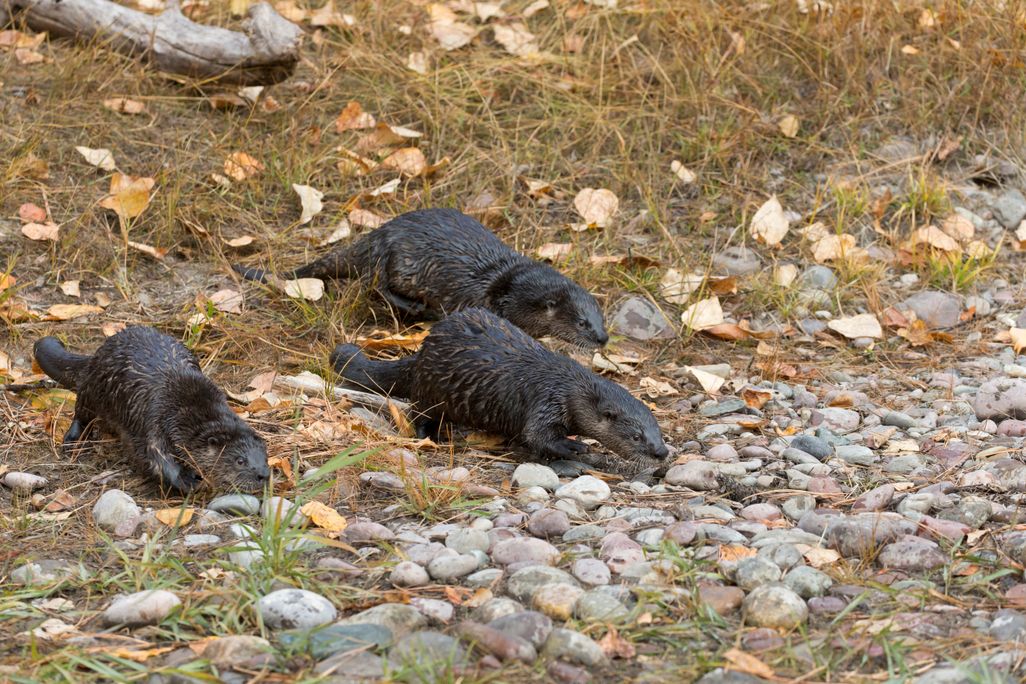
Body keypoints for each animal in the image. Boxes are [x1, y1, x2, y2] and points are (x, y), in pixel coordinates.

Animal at [33, 326, 269, 493]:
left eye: (264, 457)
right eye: (240, 460)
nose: (263, 475)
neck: (183, 407)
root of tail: (97, 354)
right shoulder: (156, 418)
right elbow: (156, 456)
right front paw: (188, 481)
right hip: (93, 387)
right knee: (82, 411)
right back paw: (73, 439)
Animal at [233, 208, 608, 348]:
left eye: (600, 319)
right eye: (581, 323)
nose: (603, 339)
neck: (508, 287)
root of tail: (377, 234)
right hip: (394, 257)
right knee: (374, 285)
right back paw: (415, 308)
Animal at [330, 308, 668, 475]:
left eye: (658, 432)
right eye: (637, 437)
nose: (661, 452)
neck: (568, 387)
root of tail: (423, 349)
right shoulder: (547, 401)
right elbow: (537, 435)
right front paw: (575, 447)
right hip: (430, 388)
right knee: (419, 412)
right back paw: (434, 436)